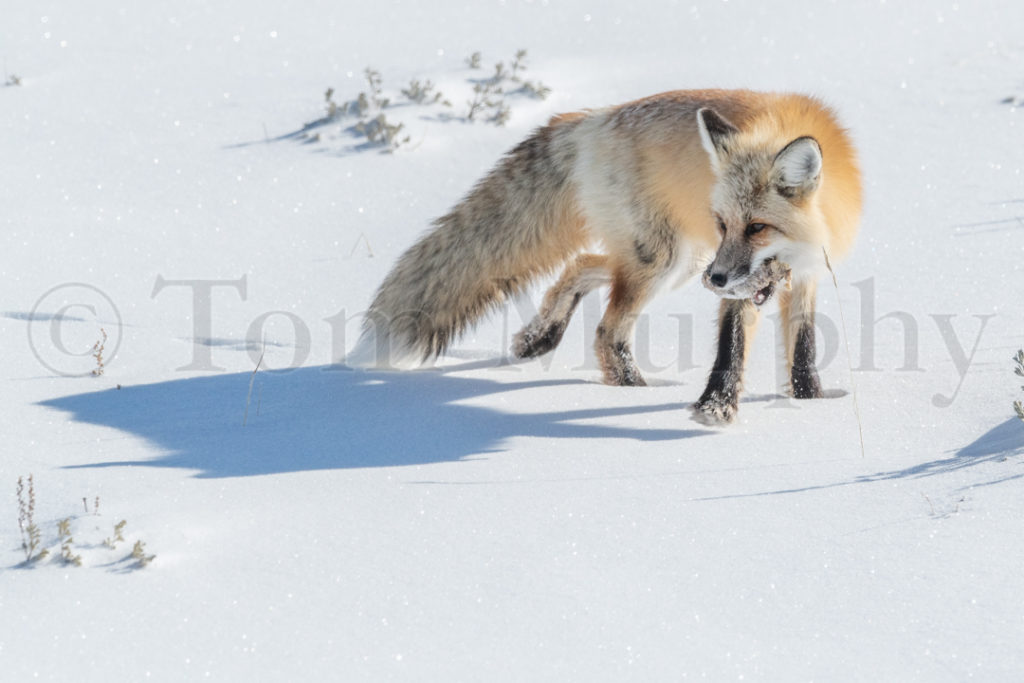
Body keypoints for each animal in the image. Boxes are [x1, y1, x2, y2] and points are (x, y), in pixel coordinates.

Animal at [348, 89, 862, 424]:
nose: (716, 281)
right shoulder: (737, 281)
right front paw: (714, 408)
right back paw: (637, 394)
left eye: (757, 227)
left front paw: (812, 402)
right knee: (606, 331)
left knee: (583, 266)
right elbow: (730, 347)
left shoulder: (804, 275)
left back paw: (539, 336)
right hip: (672, 259)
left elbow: (803, 348)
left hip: (678, 260)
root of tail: (586, 120)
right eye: (723, 222)